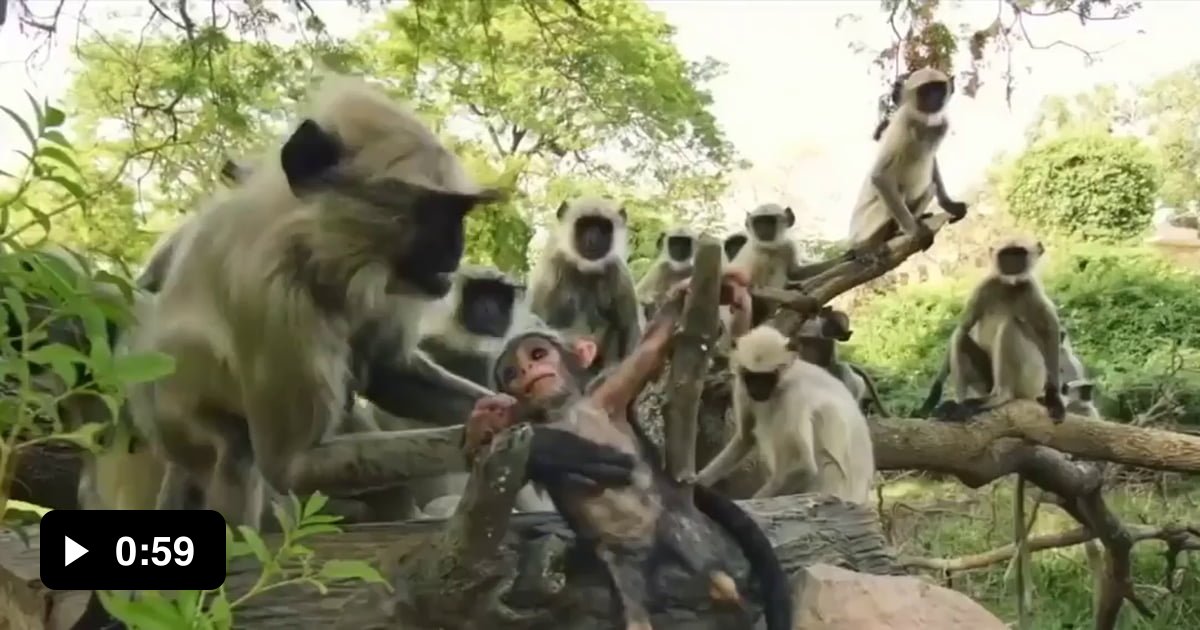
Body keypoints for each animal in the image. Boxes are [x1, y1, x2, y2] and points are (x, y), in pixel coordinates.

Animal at [465, 270, 791, 630]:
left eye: (537, 355)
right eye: (511, 372)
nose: (526, 372)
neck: (565, 411)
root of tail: (650, 547)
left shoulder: (608, 390)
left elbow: (649, 348)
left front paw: (698, 292)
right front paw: (489, 424)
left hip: (681, 526)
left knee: (721, 581)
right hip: (621, 562)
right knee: (637, 614)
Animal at [527, 196, 642, 375]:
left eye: (603, 227)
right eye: (584, 225)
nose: (593, 238)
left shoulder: (618, 272)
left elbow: (627, 326)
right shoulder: (548, 275)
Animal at [699, 325, 876, 505]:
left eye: (767, 378)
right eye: (751, 377)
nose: (758, 389)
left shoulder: (795, 395)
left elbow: (804, 467)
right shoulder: (743, 390)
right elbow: (745, 437)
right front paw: (699, 481)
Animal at [848, 67, 968, 259]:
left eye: (938, 88)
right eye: (925, 90)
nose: (934, 97)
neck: (923, 121)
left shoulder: (942, 125)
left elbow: (932, 160)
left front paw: (949, 204)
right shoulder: (902, 123)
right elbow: (879, 176)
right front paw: (915, 232)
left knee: (931, 186)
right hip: (866, 227)